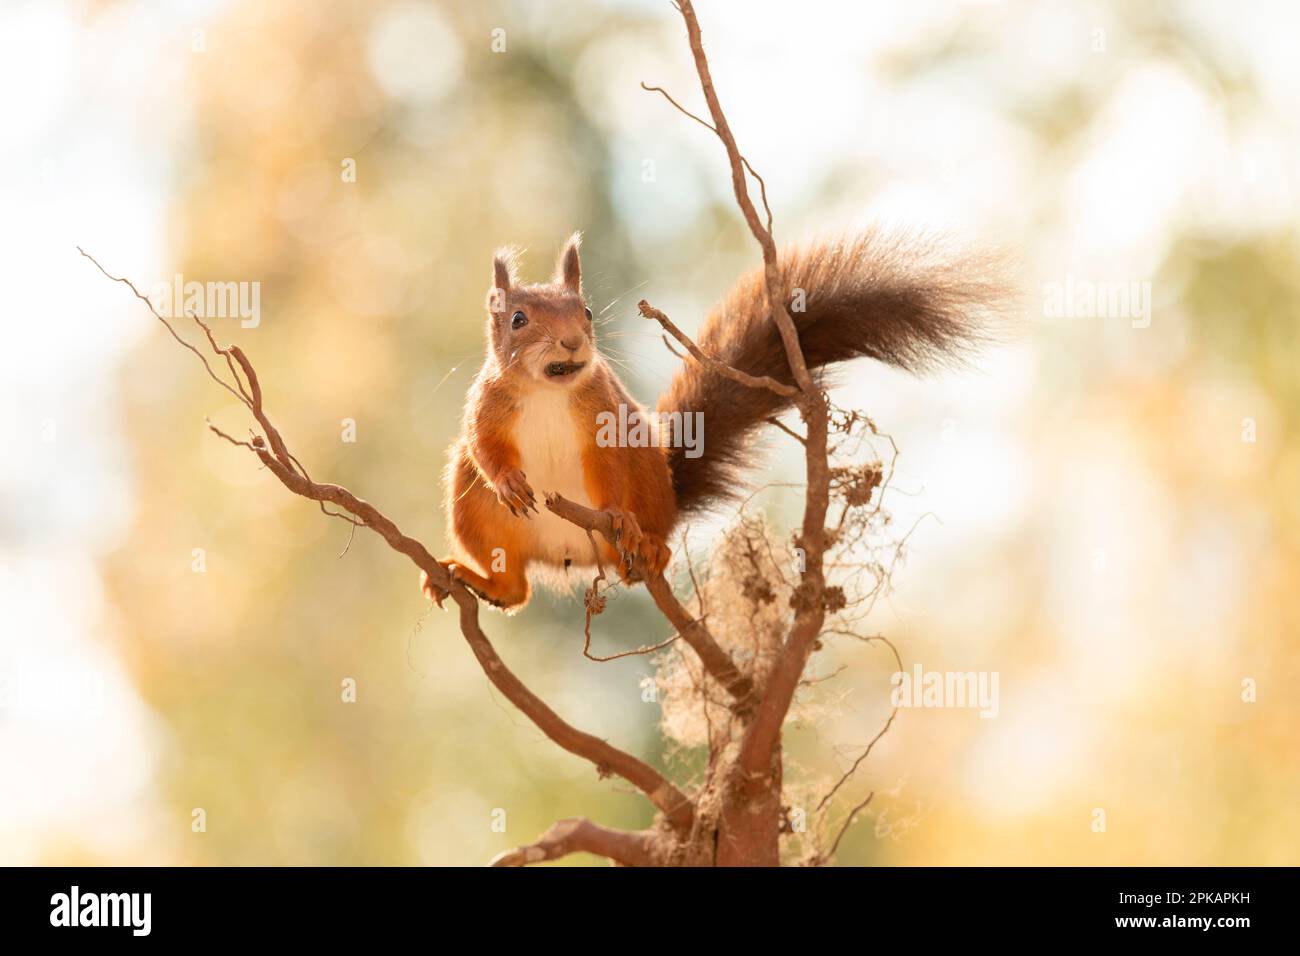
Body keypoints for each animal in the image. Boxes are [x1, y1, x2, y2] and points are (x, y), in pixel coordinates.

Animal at [422, 231, 1006, 613]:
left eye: (585, 312)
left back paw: (645, 547)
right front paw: (509, 481)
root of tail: (569, 556)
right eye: (518, 320)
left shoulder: (607, 419)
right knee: (516, 588)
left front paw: (615, 514)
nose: (571, 342)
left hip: (647, 483)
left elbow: (608, 466)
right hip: (472, 509)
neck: (549, 391)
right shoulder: (487, 406)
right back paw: (478, 580)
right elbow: (483, 446)